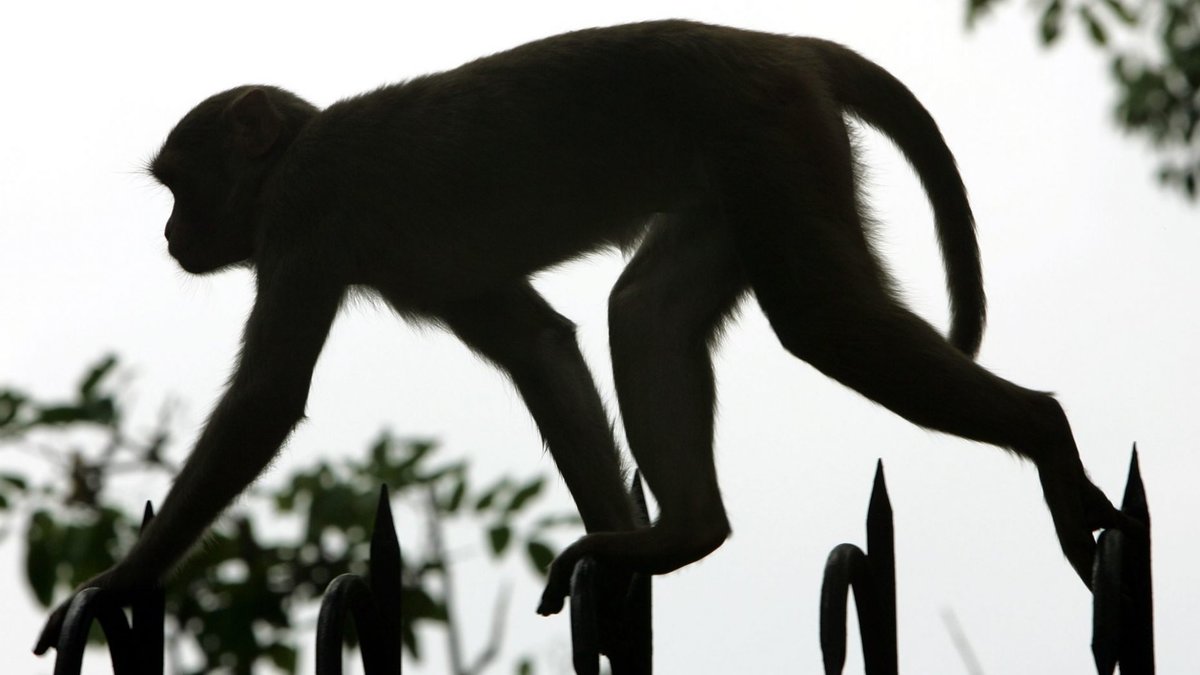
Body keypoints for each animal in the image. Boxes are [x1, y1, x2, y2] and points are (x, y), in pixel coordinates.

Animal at [36, 19, 1126, 654]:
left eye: (180, 185)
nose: (171, 234)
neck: (295, 153)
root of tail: (782, 43)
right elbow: (542, 347)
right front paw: (622, 562)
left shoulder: (302, 219)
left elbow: (267, 398)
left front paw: (118, 581)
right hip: (738, 165)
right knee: (642, 312)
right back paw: (685, 532)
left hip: (767, 129)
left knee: (823, 317)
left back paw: (1045, 430)